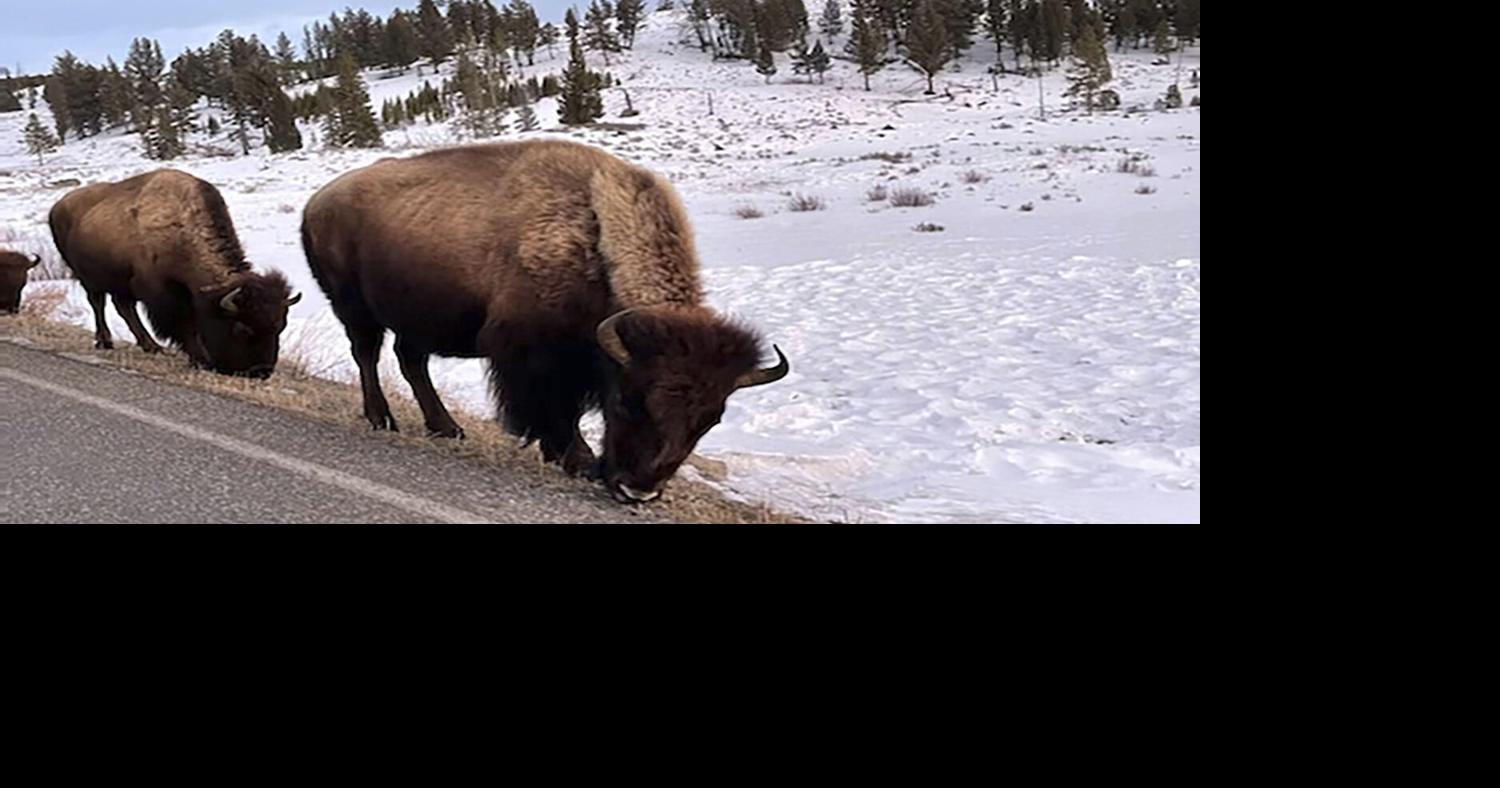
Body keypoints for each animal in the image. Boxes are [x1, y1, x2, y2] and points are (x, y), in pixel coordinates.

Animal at [49, 169, 300, 378]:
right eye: (242, 329)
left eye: (280, 326)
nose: (261, 372)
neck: (182, 230)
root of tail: (57, 207)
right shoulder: (162, 294)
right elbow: (184, 325)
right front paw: (200, 360)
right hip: (88, 278)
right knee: (98, 304)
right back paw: (106, 342)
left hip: (118, 282)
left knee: (124, 308)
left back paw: (151, 347)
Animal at [302, 140, 789, 502]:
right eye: (627, 400)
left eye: (710, 419)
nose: (638, 491)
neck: (592, 241)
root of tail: (317, 202)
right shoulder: (534, 355)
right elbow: (556, 410)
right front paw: (577, 460)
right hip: (354, 307)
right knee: (368, 355)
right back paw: (382, 419)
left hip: (414, 316)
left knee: (411, 362)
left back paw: (447, 428)